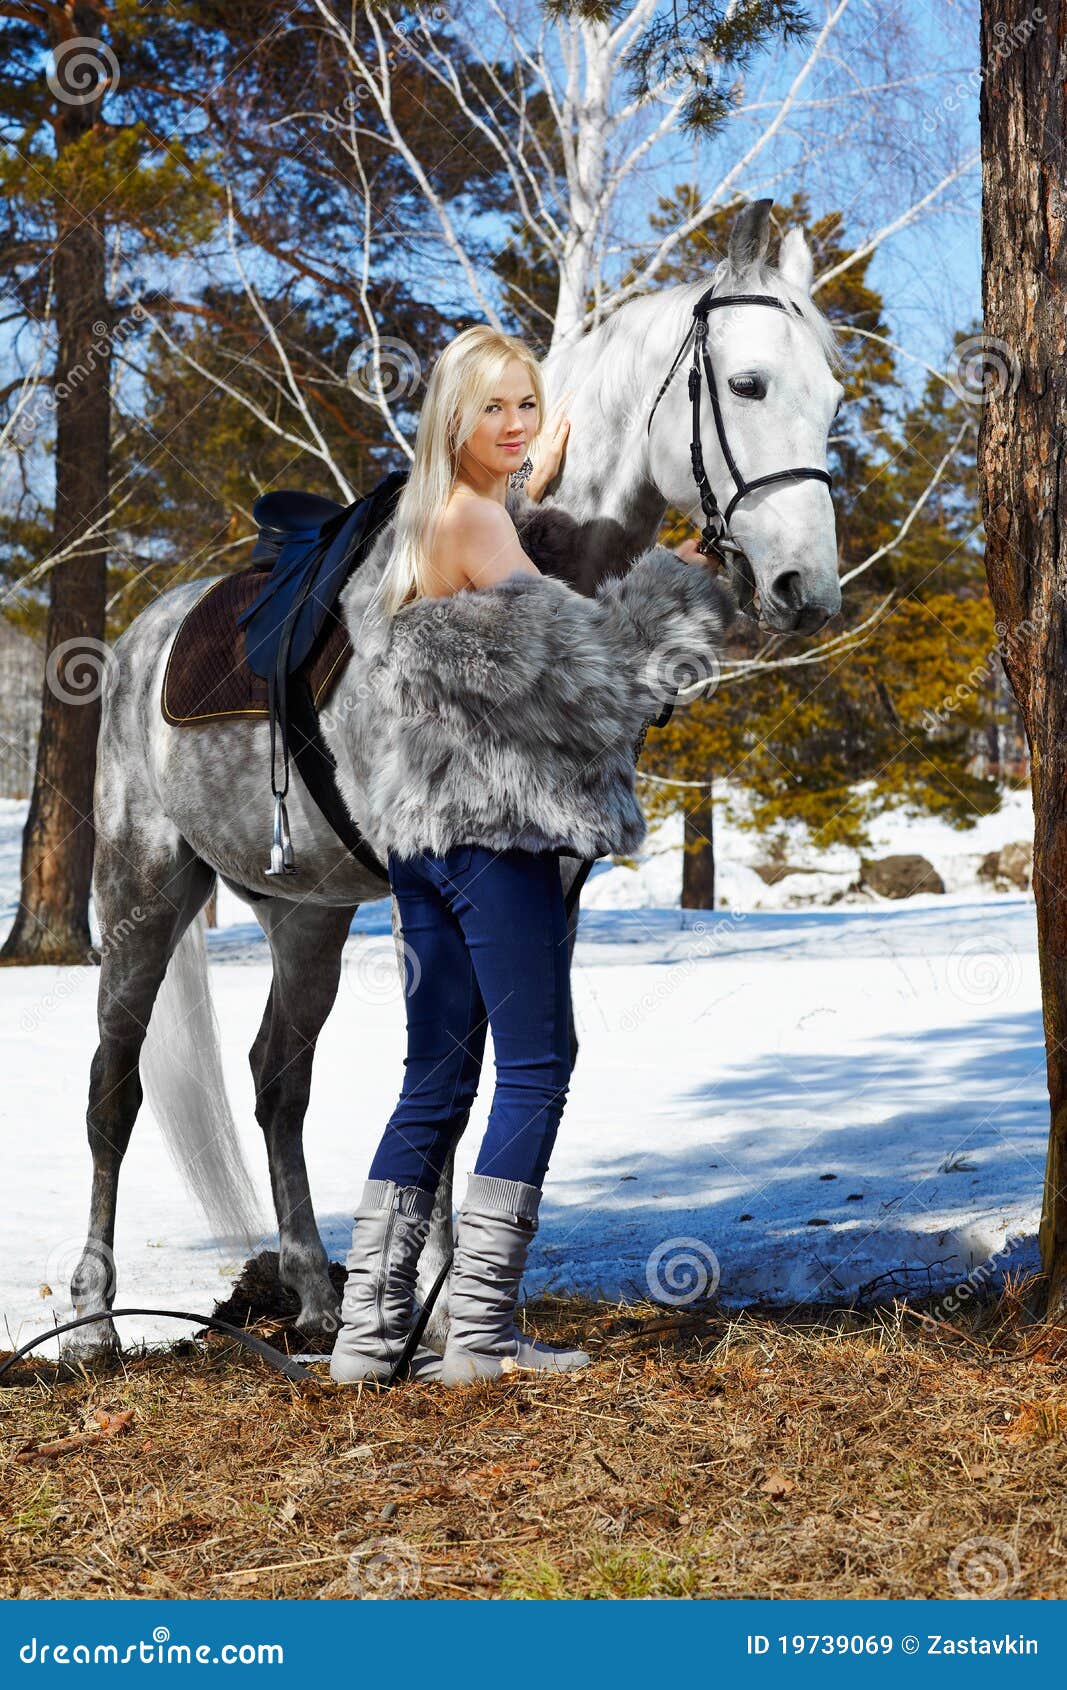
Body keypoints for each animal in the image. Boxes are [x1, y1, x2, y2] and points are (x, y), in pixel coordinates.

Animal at [67, 197, 844, 1355]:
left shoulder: (541, 884)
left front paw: (446, 1306)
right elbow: (443, 1076)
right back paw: (91, 1323)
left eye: (831, 398)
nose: (806, 589)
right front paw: (431, 1309)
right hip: (142, 892)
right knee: (111, 1089)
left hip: (305, 917)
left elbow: (482, 1072)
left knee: (276, 1082)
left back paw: (314, 1293)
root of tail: (141, 639)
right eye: (747, 384)